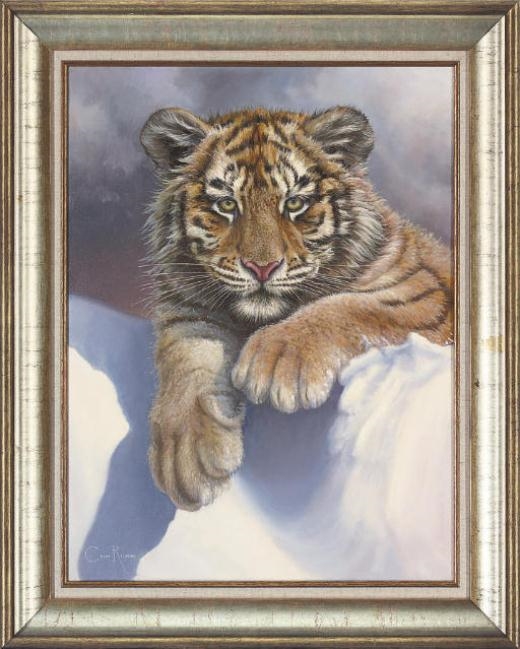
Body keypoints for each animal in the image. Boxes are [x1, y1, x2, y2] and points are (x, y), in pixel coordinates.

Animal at [140, 105, 453, 511]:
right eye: (226, 205)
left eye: (294, 204)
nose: (261, 267)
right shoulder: (191, 310)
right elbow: (186, 358)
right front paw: (185, 457)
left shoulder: (421, 293)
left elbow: (349, 307)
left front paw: (276, 361)